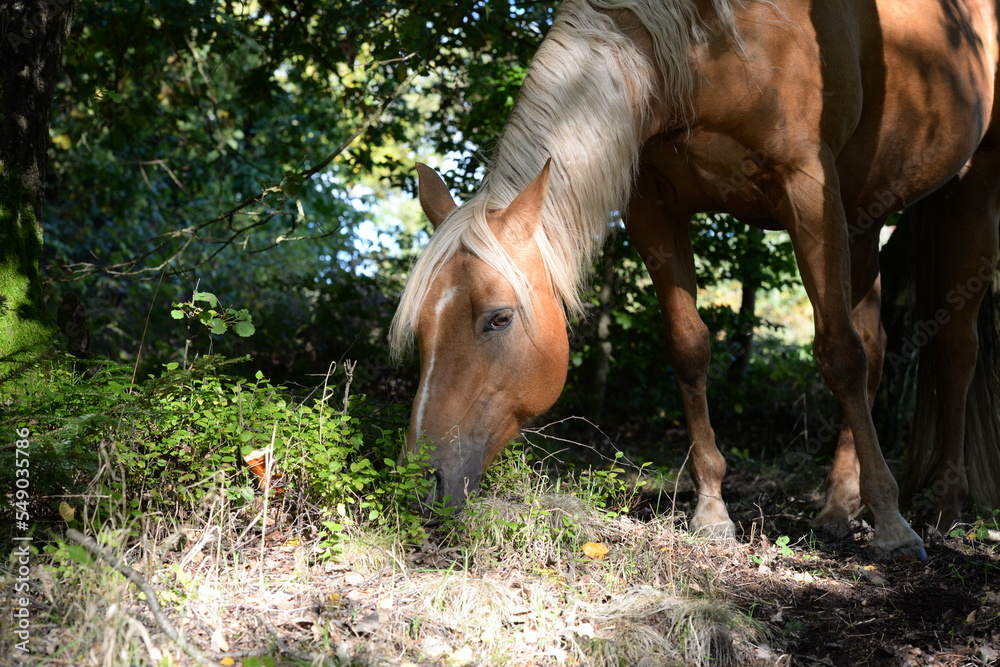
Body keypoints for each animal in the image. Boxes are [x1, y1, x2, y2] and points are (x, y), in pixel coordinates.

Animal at [390, 0, 1000, 561]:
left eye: (498, 318)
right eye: (419, 329)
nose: (419, 482)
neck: (708, 43)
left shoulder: (808, 185)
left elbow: (838, 354)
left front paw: (894, 527)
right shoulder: (652, 207)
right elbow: (690, 348)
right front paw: (711, 511)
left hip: (966, 191)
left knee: (954, 350)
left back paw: (947, 509)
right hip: (864, 216)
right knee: (876, 344)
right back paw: (838, 508)